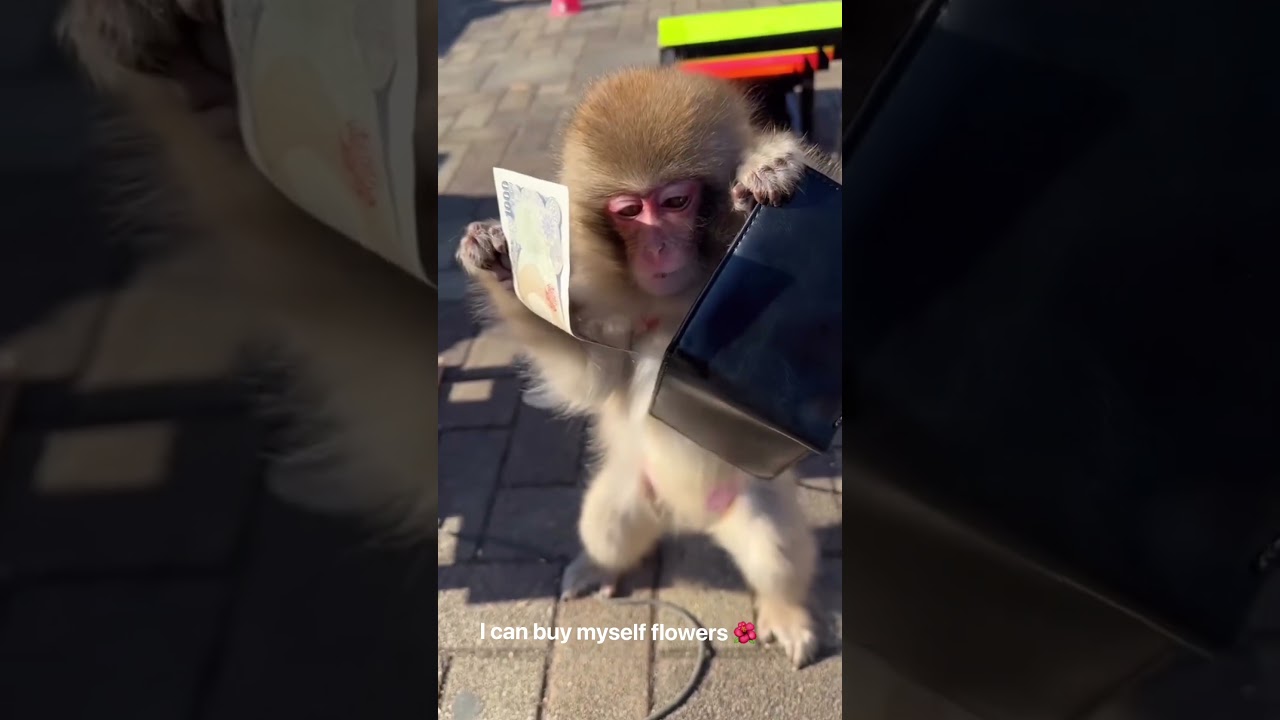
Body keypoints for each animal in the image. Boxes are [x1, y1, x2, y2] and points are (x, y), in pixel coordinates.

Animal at [455, 67, 841, 668]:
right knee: (606, 525)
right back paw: (602, 566)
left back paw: (785, 609)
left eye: (676, 201)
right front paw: (500, 261)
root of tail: (691, 519)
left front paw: (773, 164)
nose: (657, 248)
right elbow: (590, 378)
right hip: (632, 489)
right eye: (630, 212)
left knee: (777, 550)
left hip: (755, 501)